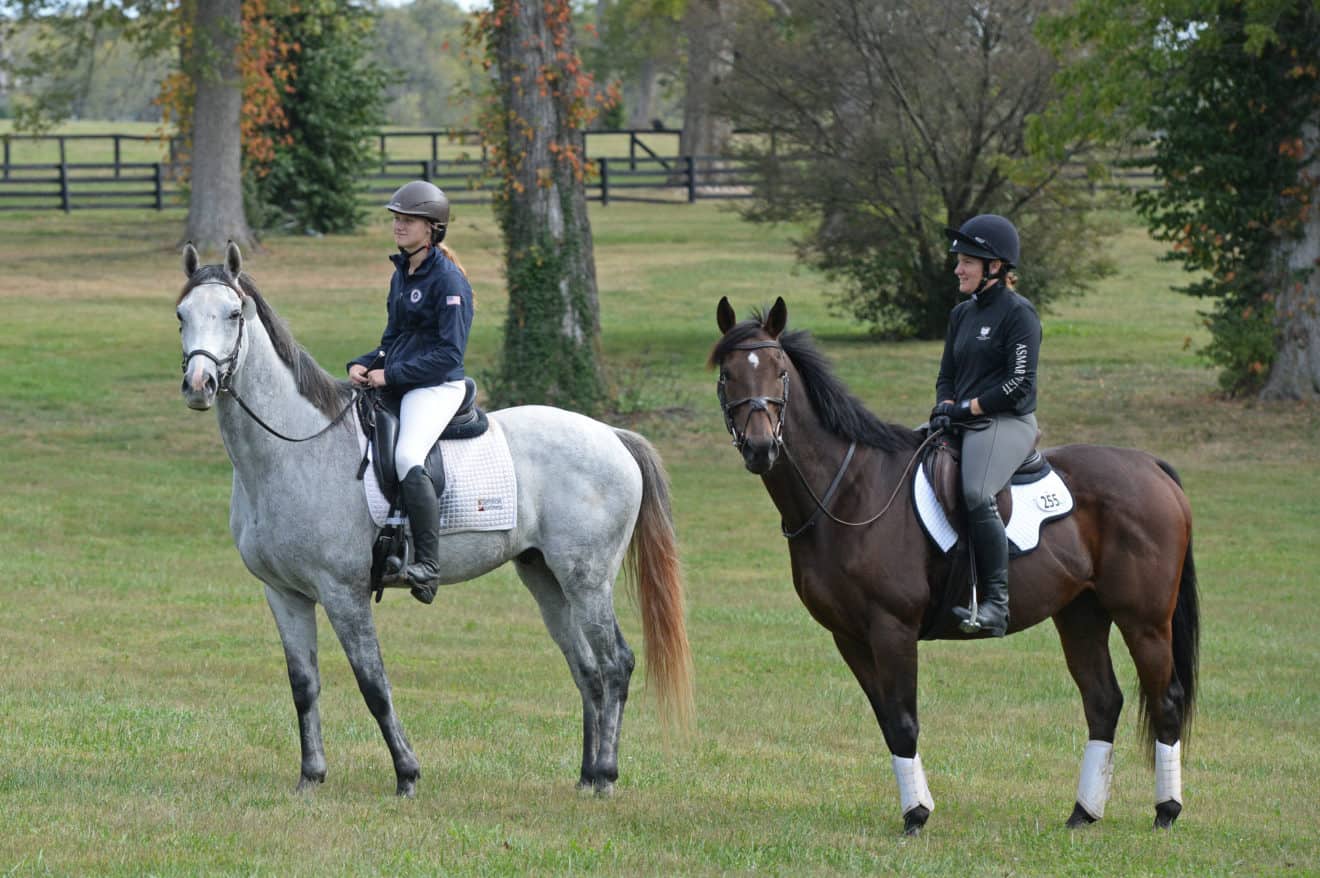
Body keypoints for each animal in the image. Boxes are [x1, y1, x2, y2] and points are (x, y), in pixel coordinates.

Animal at [174, 242, 693, 797]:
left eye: (233, 314)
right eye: (181, 314)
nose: (199, 384)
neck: (295, 448)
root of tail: (613, 435)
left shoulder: (343, 592)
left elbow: (373, 684)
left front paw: (407, 774)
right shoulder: (284, 593)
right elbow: (304, 685)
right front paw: (310, 778)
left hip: (588, 580)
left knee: (616, 664)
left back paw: (606, 777)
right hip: (547, 578)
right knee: (588, 670)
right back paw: (586, 775)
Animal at [710, 296, 1199, 835]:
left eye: (779, 373)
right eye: (728, 375)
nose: (760, 448)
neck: (849, 490)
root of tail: (1151, 466)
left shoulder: (892, 628)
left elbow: (904, 722)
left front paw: (916, 817)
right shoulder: (849, 636)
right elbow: (888, 722)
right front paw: (917, 808)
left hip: (1143, 620)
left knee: (1166, 699)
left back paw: (1166, 811)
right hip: (1081, 614)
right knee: (1103, 700)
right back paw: (1083, 813)